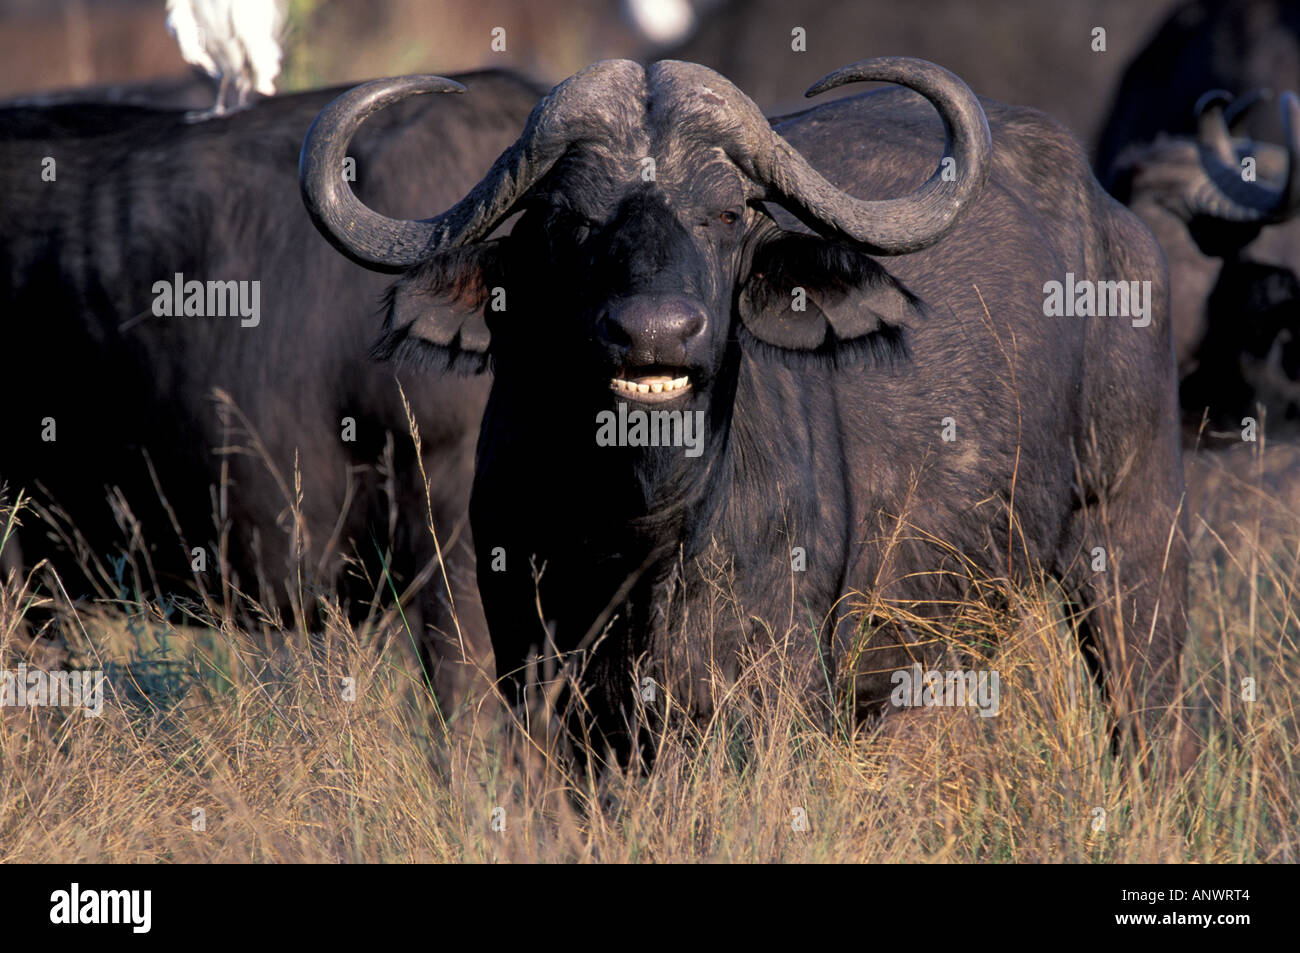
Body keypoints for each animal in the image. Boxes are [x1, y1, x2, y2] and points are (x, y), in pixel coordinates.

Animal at [301, 57, 1191, 764]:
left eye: (726, 214)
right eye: (570, 221)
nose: (655, 333)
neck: (640, 538)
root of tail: (1120, 233)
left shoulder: (768, 693)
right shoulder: (539, 681)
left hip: (1131, 539)